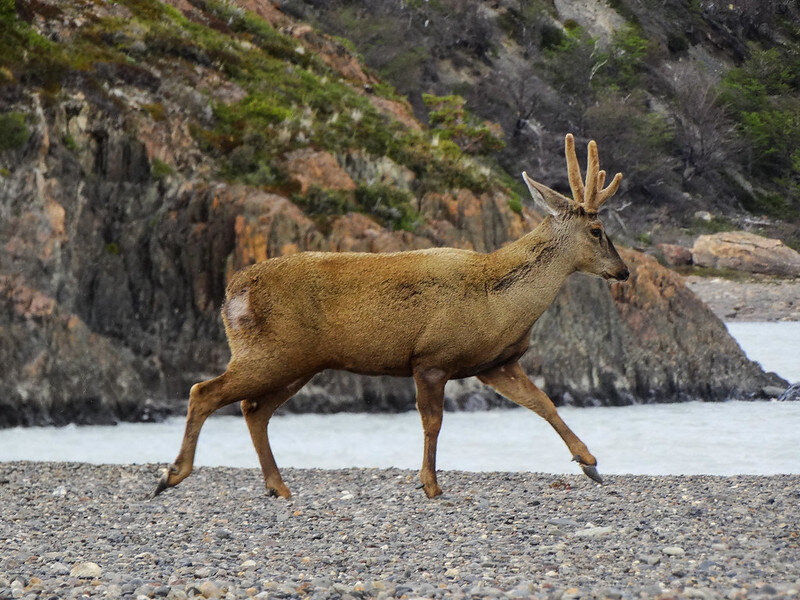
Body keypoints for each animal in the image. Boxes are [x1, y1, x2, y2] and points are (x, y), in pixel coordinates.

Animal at [150, 133, 628, 500]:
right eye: (597, 231)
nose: (623, 271)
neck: (497, 301)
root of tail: (232, 292)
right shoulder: (432, 357)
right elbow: (433, 422)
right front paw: (430, 485)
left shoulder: (495, 362)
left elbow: (544, 403)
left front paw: (590, 463)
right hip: (272, 351)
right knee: (203, 391)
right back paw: (171, 476)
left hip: (297, 361)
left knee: (253, 410)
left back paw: (278, 487)